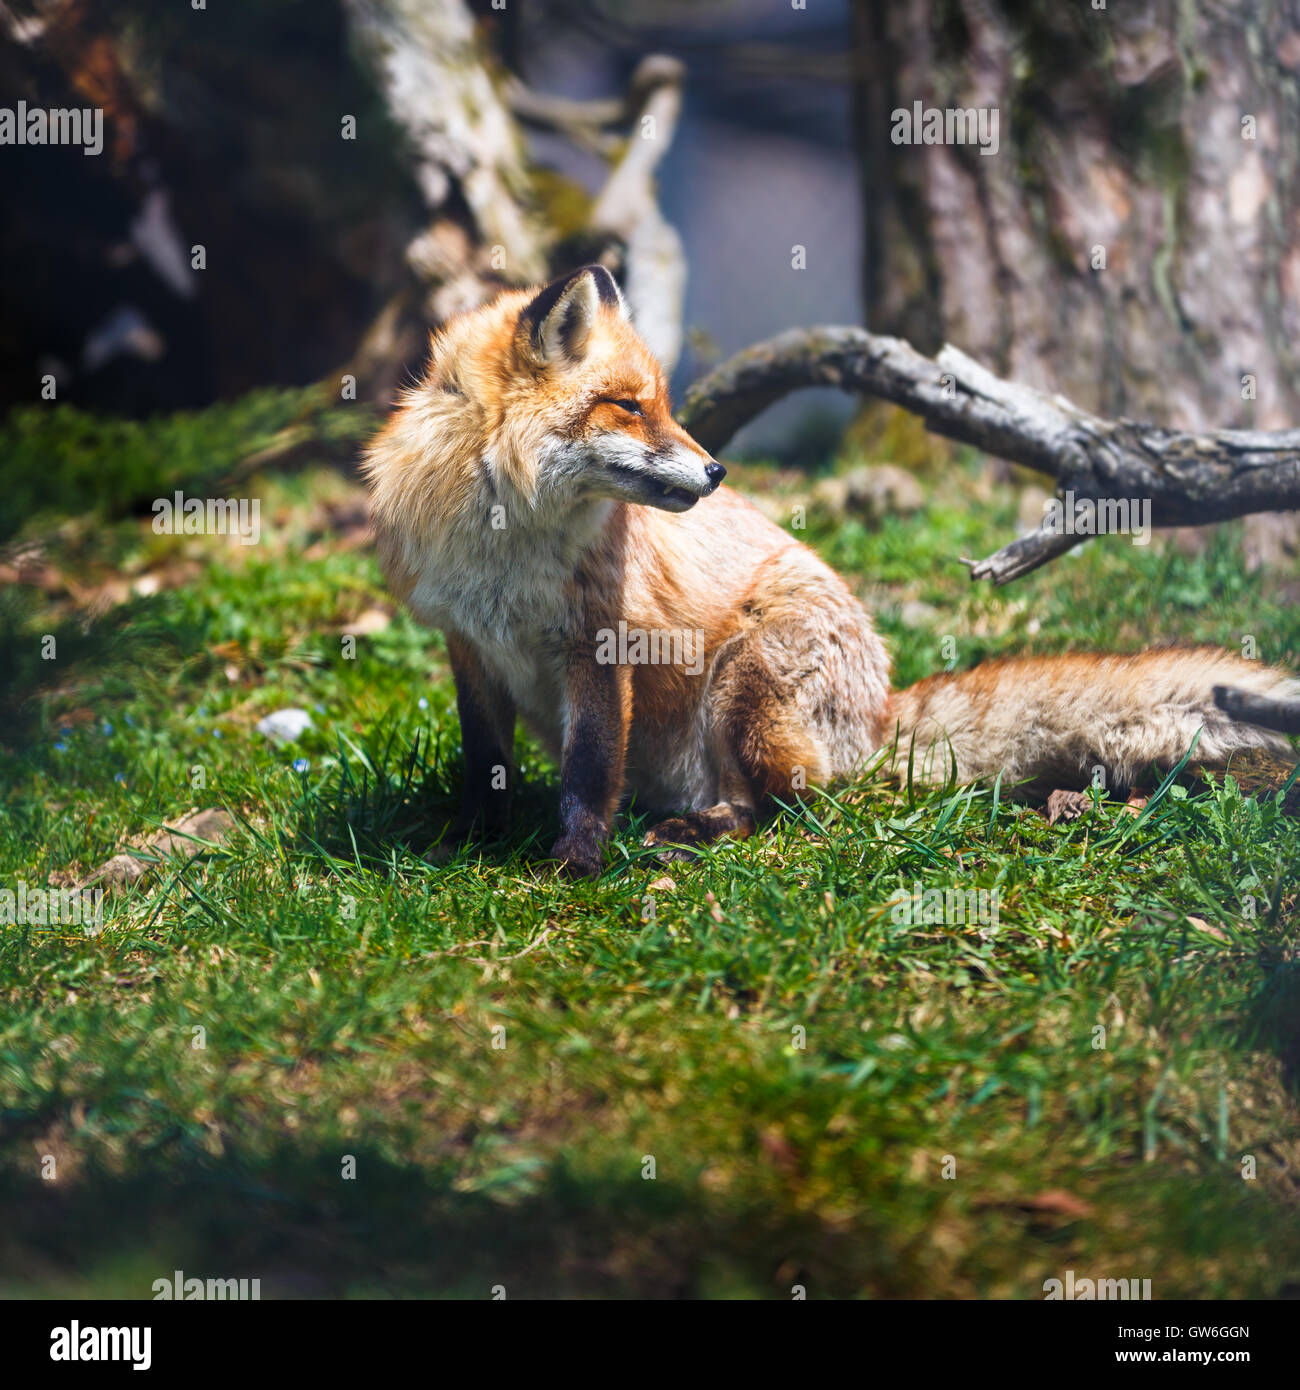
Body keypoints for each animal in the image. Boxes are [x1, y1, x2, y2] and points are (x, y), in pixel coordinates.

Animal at [363, 264, 1300, 877]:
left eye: (663, 403)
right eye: (627, 407)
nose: (716, 472)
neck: (504, 546)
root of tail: (881, 706)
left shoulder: (596, 641)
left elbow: (591, 768)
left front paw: (579, 861)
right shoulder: (468, 644)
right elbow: (484, 761)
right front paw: (473, 840)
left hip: (744, 688)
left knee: (790, 807)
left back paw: (693, 834)